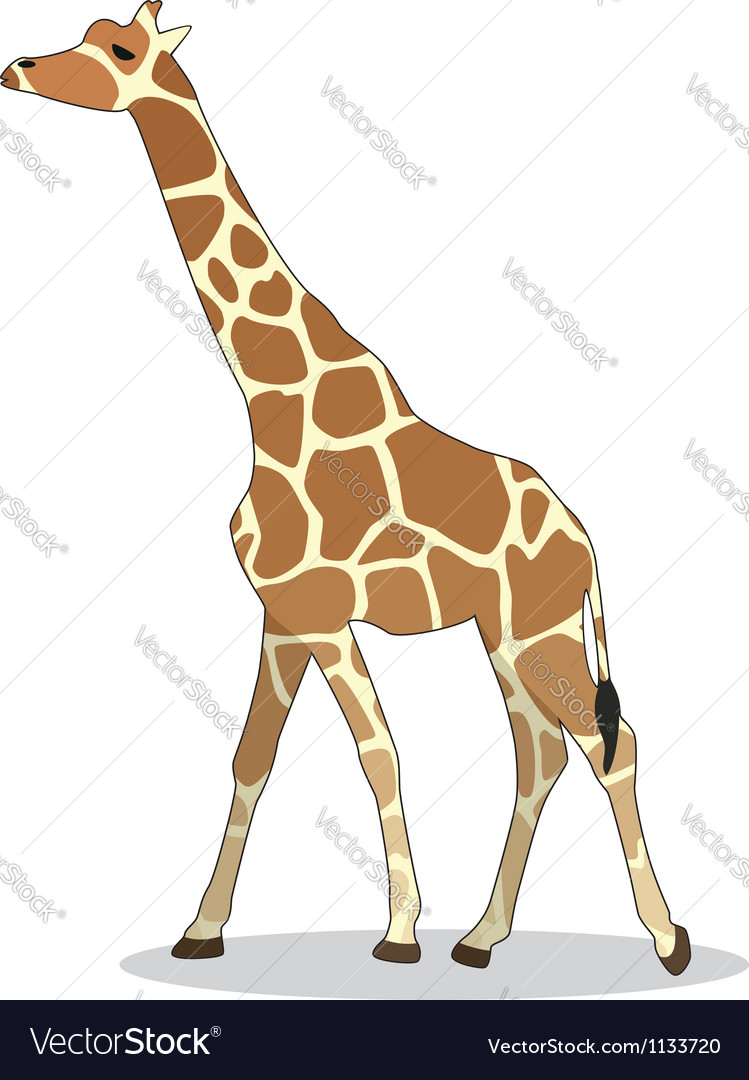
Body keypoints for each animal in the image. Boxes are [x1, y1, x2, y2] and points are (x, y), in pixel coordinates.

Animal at [2, 2, 691, 977]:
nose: (18, 66)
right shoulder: (283, 613)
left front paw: (398, 934)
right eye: (86, 33)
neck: (267, 405)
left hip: (539, 632)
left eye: (121, 49)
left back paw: (666, 940)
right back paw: (480, 938)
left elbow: (378, 753)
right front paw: (201, 930)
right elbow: (250, 758)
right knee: (542, 756)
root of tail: (586, 544)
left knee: (609, 743)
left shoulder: (325, 614)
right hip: (503, 635)